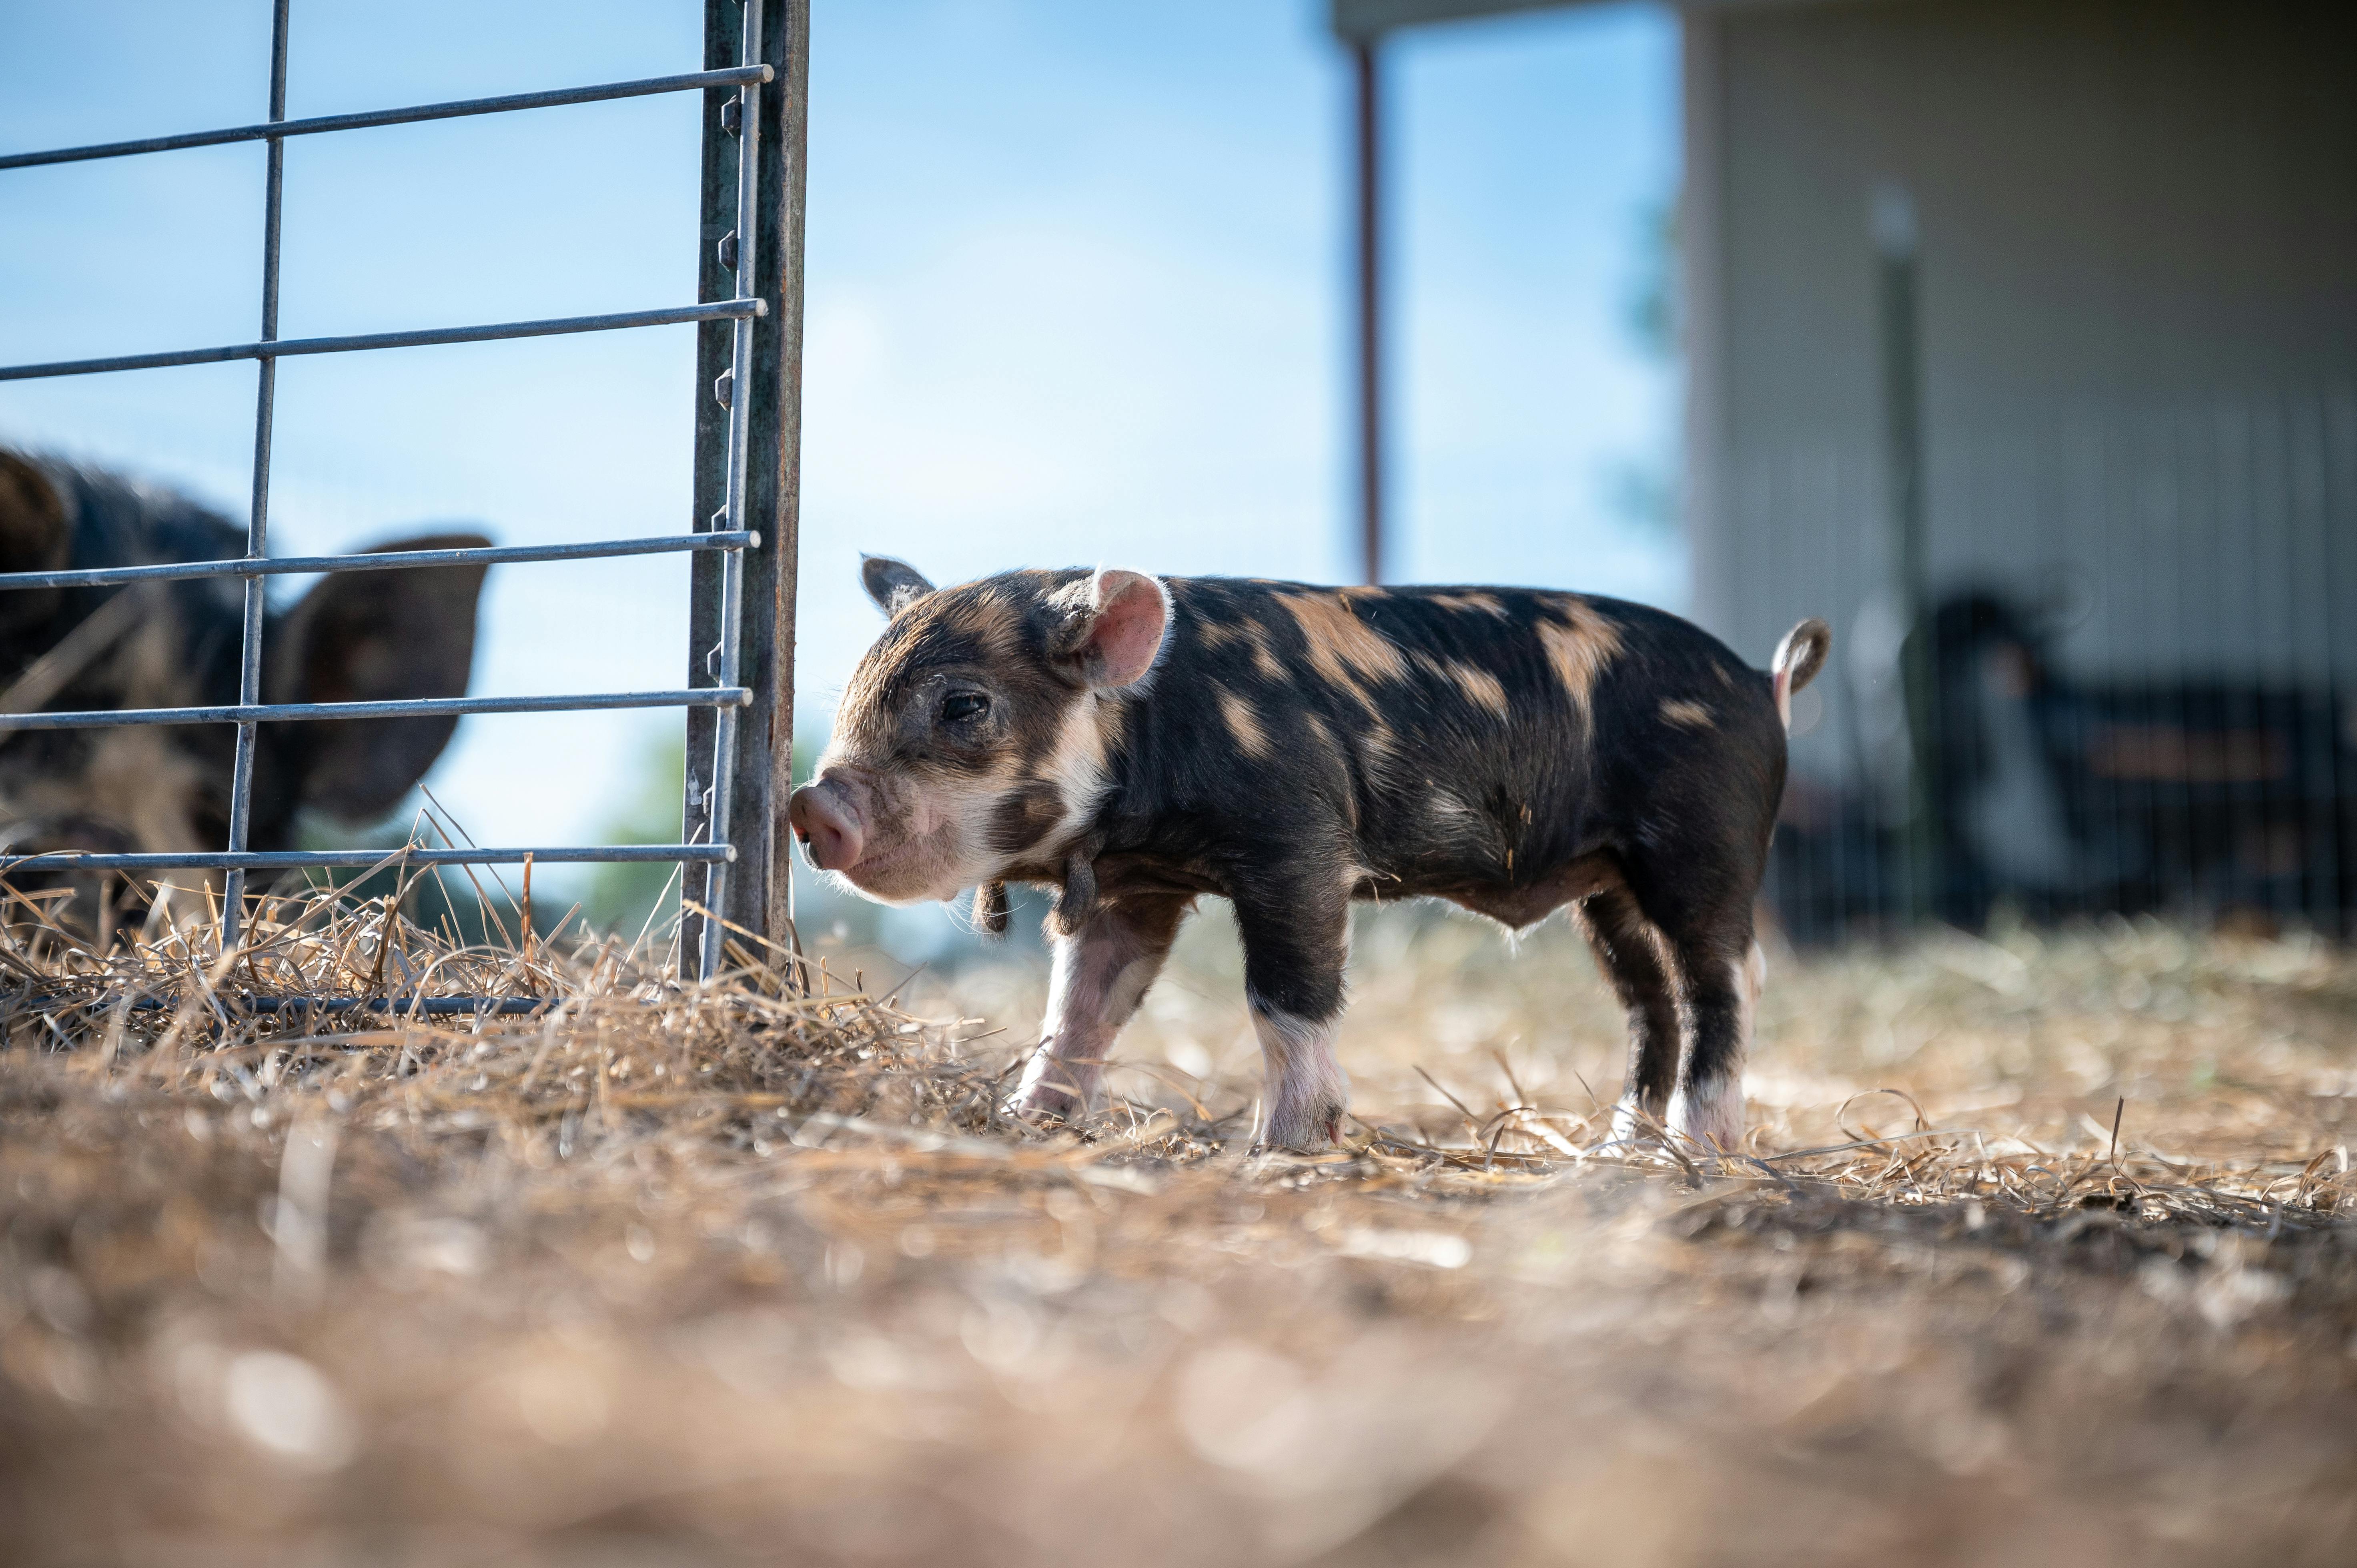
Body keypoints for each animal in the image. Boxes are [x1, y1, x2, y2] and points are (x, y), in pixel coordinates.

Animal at [789, 557, 1828, 1153]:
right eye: (855, 690)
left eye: (965, 705)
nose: (809, 802)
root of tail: (1761, 680)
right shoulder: (1136, 888)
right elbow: (1077, 1010)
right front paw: (1026, 1124)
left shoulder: (1297, 841)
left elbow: (1285, 994)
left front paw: (1285, 1146)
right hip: (1603, 887)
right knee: (1649, 1003)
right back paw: (1621, 1154)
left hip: (1701, 845)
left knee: (1723, 984)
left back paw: (1702, 1153)